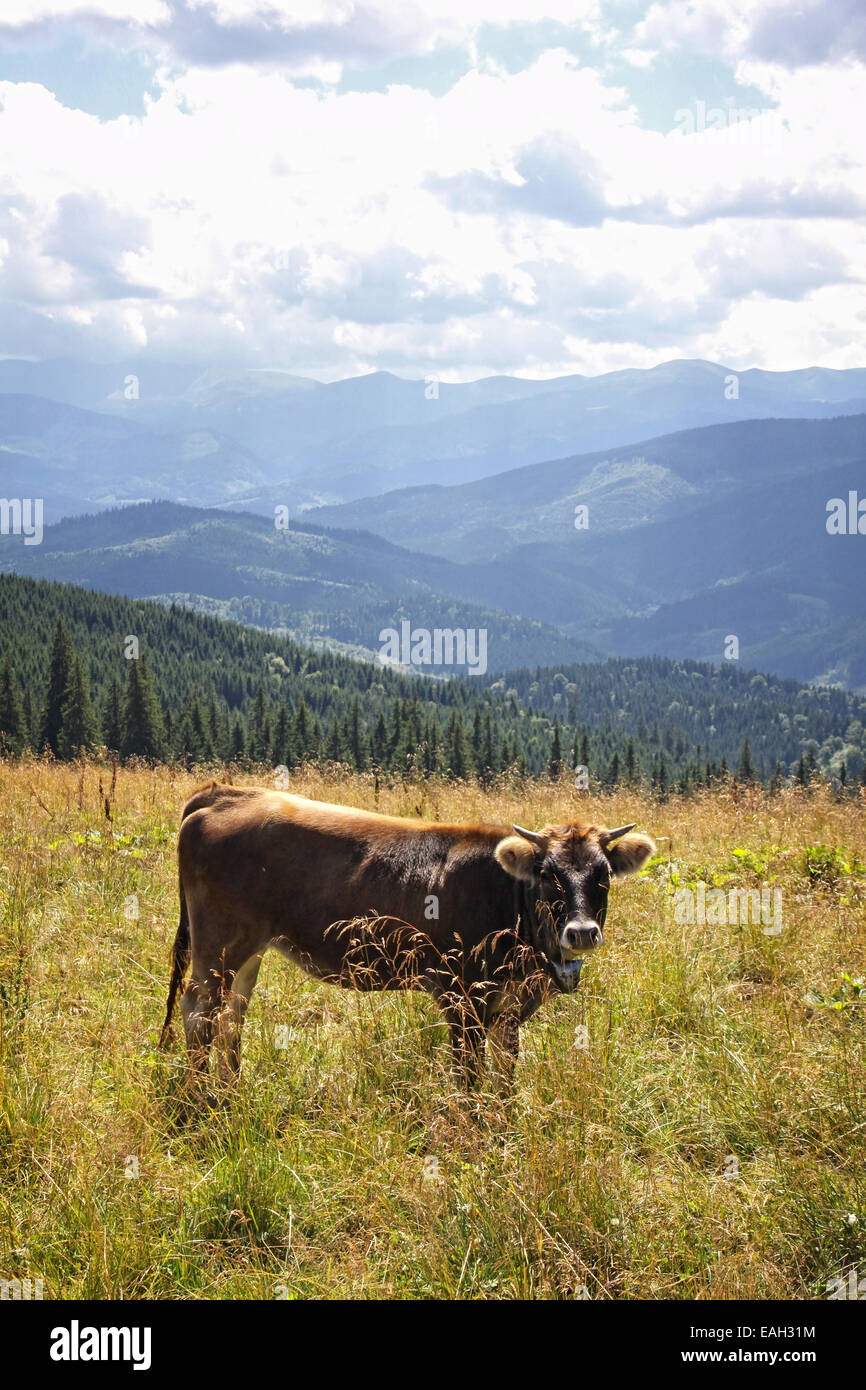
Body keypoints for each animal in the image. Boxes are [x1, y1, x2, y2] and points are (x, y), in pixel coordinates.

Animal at [159, 783, 655, 1090]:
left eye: (603, 874)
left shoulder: (510, 1009)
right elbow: (469, 1077)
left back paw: (231, 1090)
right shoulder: (461, 996)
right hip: (218, 943)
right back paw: (202, 1099)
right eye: (548, 875)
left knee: (232, 1015)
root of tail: (224, 794)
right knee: (198, 1011)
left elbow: (504, 1076)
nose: (582, 932)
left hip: (249, 949)